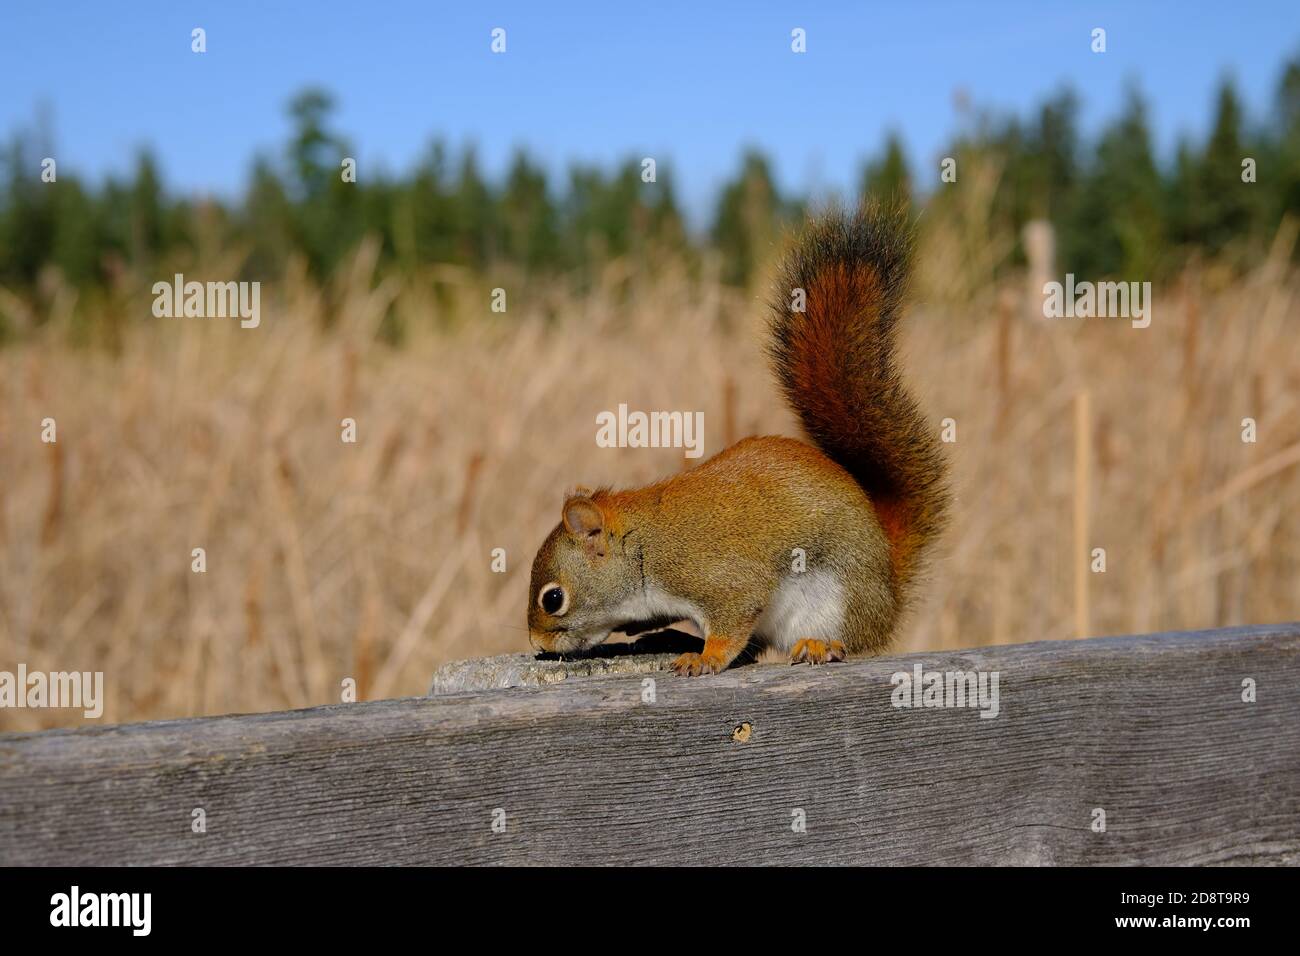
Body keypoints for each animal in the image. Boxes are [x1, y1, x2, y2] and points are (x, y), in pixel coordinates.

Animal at [527, 203, 950, 676]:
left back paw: (821, 645)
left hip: (837, 602)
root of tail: (888, 591)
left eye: (553, 598)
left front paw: (706, 658)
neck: (644, 545)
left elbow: (731, 623)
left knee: (850, 641)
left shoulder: (718, 578)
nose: (537, 645)